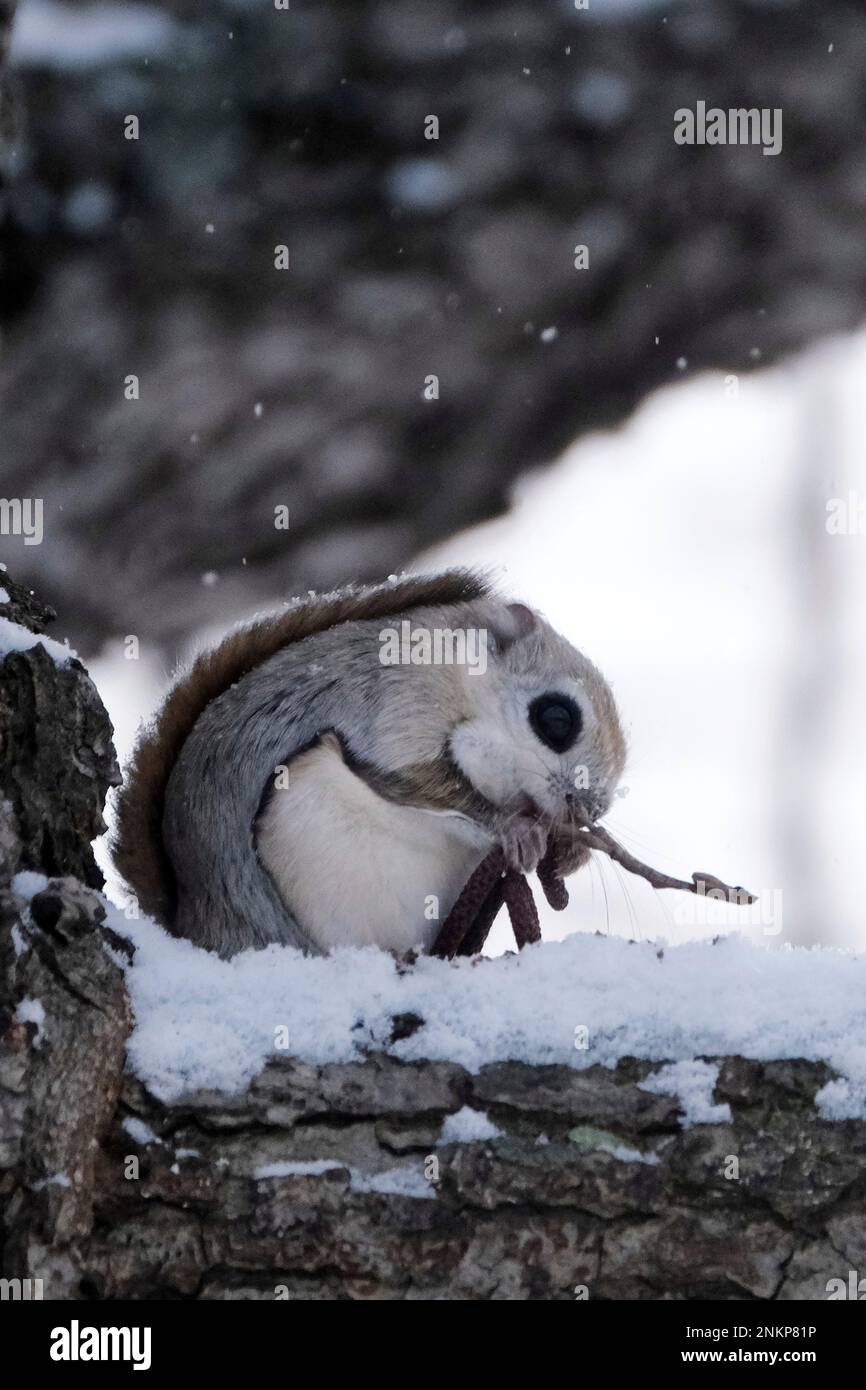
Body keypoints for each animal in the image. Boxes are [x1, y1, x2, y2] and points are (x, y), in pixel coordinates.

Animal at [113, 570, 627, 957]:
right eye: (556, 719)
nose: (593, 808)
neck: (461, 677)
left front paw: (573, 851)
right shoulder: (395, 708)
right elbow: (415, 785)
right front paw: (517, 828)